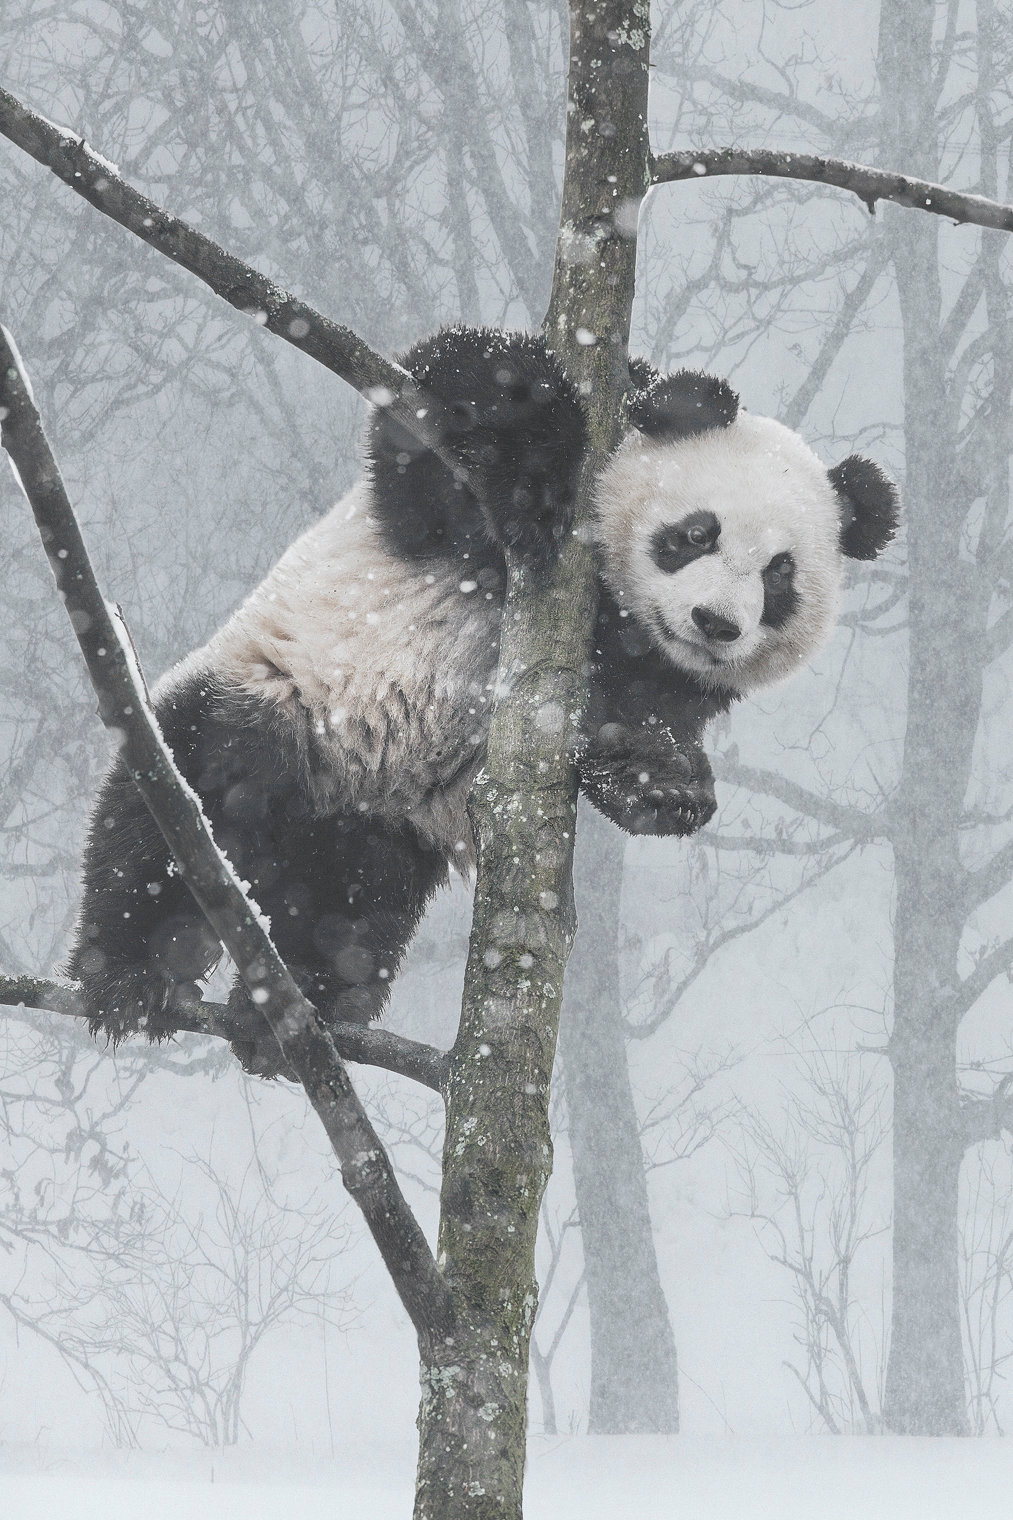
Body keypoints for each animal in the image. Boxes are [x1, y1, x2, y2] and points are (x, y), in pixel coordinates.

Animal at [68, 326, 898, 1075]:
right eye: (695, 534)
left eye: (779, 575)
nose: (715, 623)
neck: (613, 610)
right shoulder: (442, 513)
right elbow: (441, 415)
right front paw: (539, 467)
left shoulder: (652, 672)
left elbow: (636, 720)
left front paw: (663, 782)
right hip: (274, 698)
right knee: (172, 808)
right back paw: (129, 976)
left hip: (380, 828)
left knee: (354, 910)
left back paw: (287, 1013)